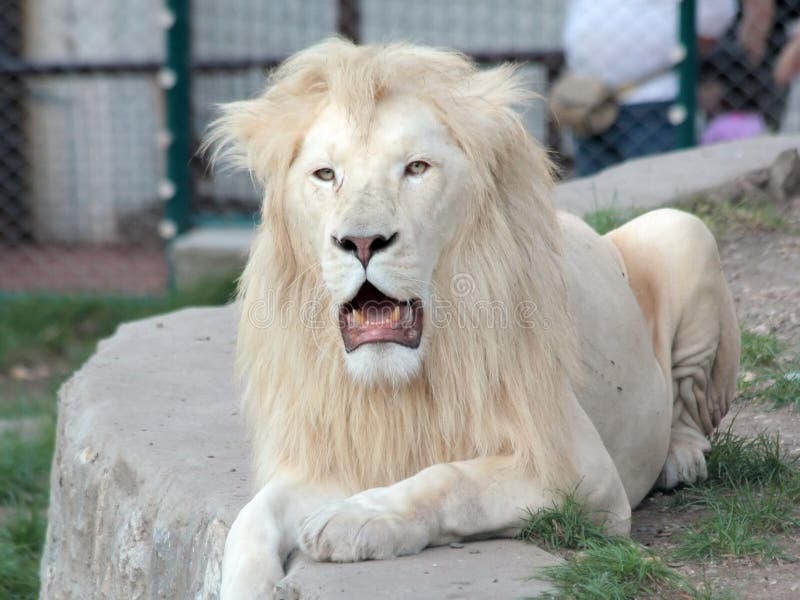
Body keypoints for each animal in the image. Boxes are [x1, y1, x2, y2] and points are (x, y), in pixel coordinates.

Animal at [204, 39, 740, 598]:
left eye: (416, 168)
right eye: (326, 175)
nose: (362, 241)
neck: (401, 383)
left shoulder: (580, 470)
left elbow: (451, 480)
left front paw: (356, 519)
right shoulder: (342, 453)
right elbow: (252, 518)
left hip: (682, 230)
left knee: (690, 405)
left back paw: (680, 458)